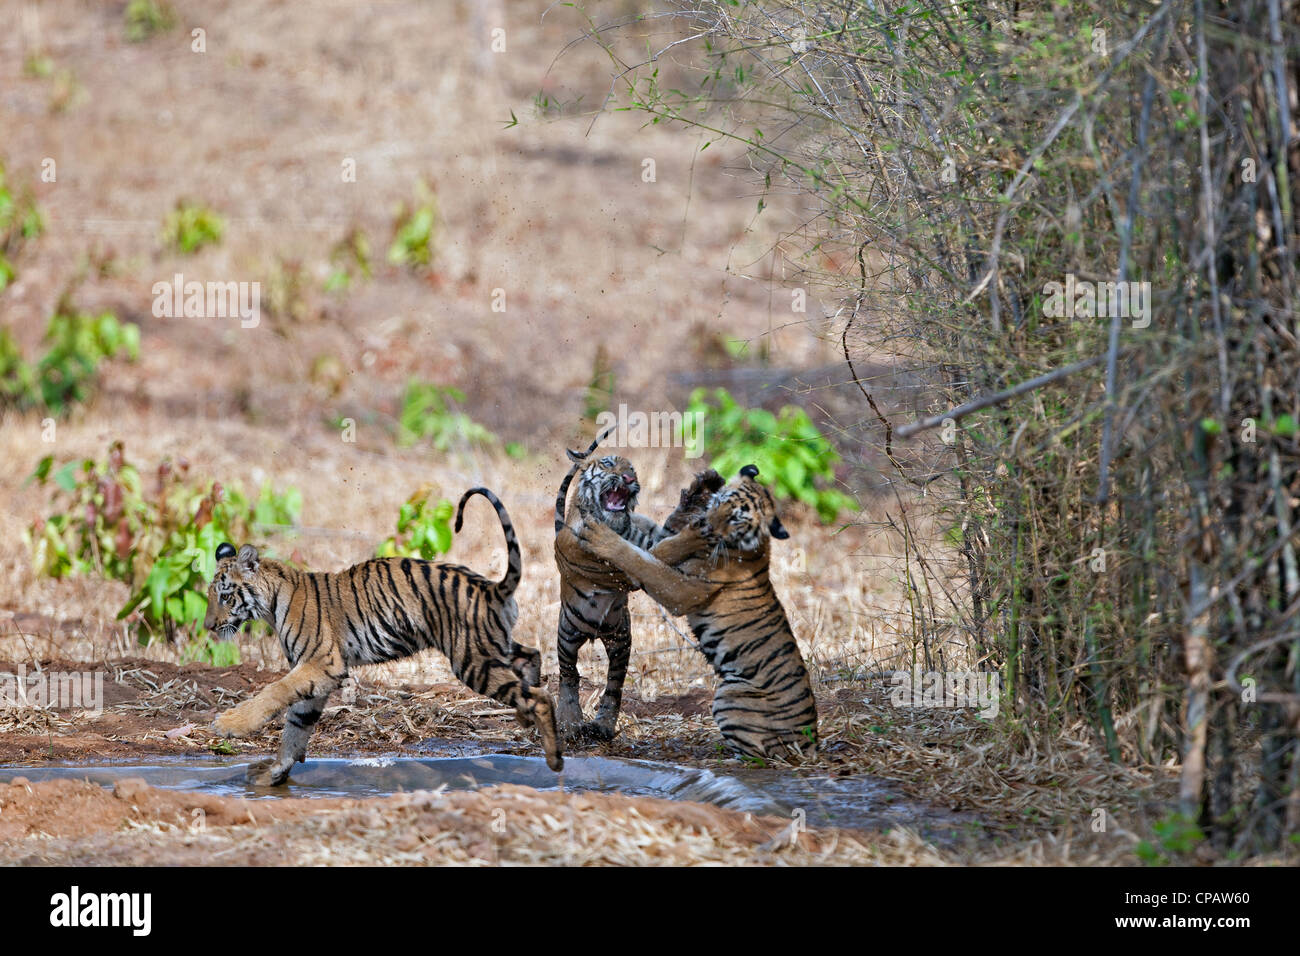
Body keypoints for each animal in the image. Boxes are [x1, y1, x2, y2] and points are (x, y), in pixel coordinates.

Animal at [205, 487, 562, 785]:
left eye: (225, 596)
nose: (208, 626)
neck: (272, 603)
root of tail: (491, 587)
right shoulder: (316, 676)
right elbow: (296, 726)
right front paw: (272, 775)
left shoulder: (322, 663)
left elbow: (274, 693)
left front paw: (229, 724)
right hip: (493, 646)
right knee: (531, 657)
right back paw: (525, 719)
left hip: (473, 660)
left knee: (542, 696)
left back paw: (554, 759)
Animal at [573, 464, 819, 759]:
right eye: (720, 501)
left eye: (736, 518)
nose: (706, 524)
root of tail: (812, 741)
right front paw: (700, 489)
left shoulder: (681, 589)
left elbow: (640, 560)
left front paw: (600, 536)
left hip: (730, 695)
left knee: (759, 752)